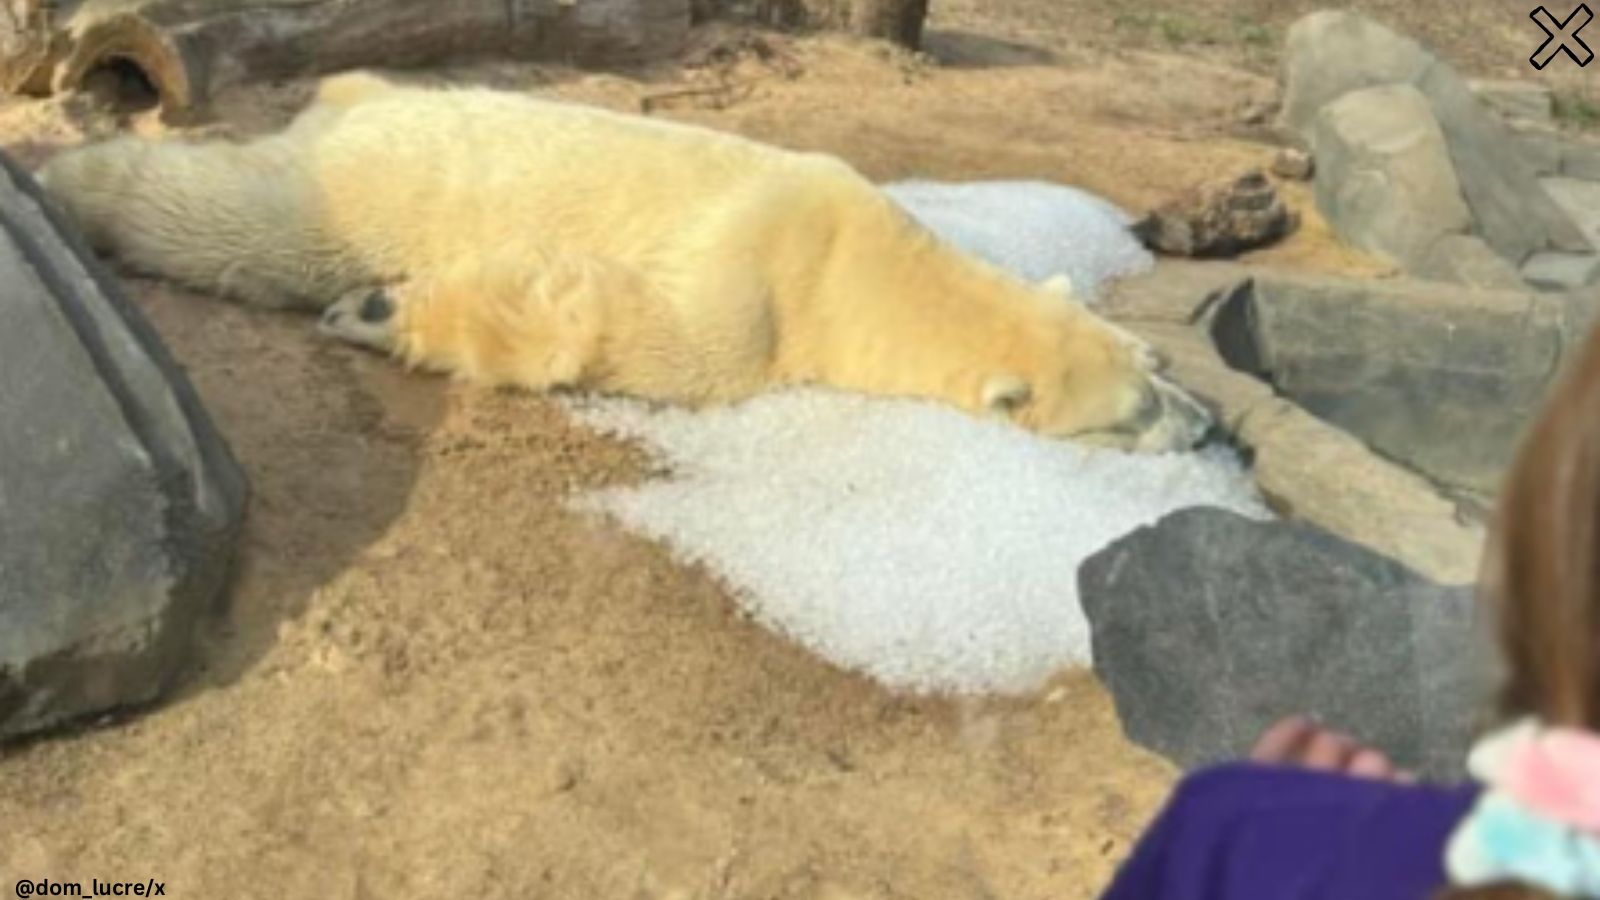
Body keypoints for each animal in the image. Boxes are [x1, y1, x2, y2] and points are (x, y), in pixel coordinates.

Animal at [37, 71, 1212, 452]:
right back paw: (75, 185)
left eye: (1155, 370)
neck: (869, 259)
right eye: (1131, 413)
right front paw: (383, 311)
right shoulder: (760, 283)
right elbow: (646, 336)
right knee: (241, 220)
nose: (1205, 429)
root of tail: (356, 96)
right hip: (366, 182)